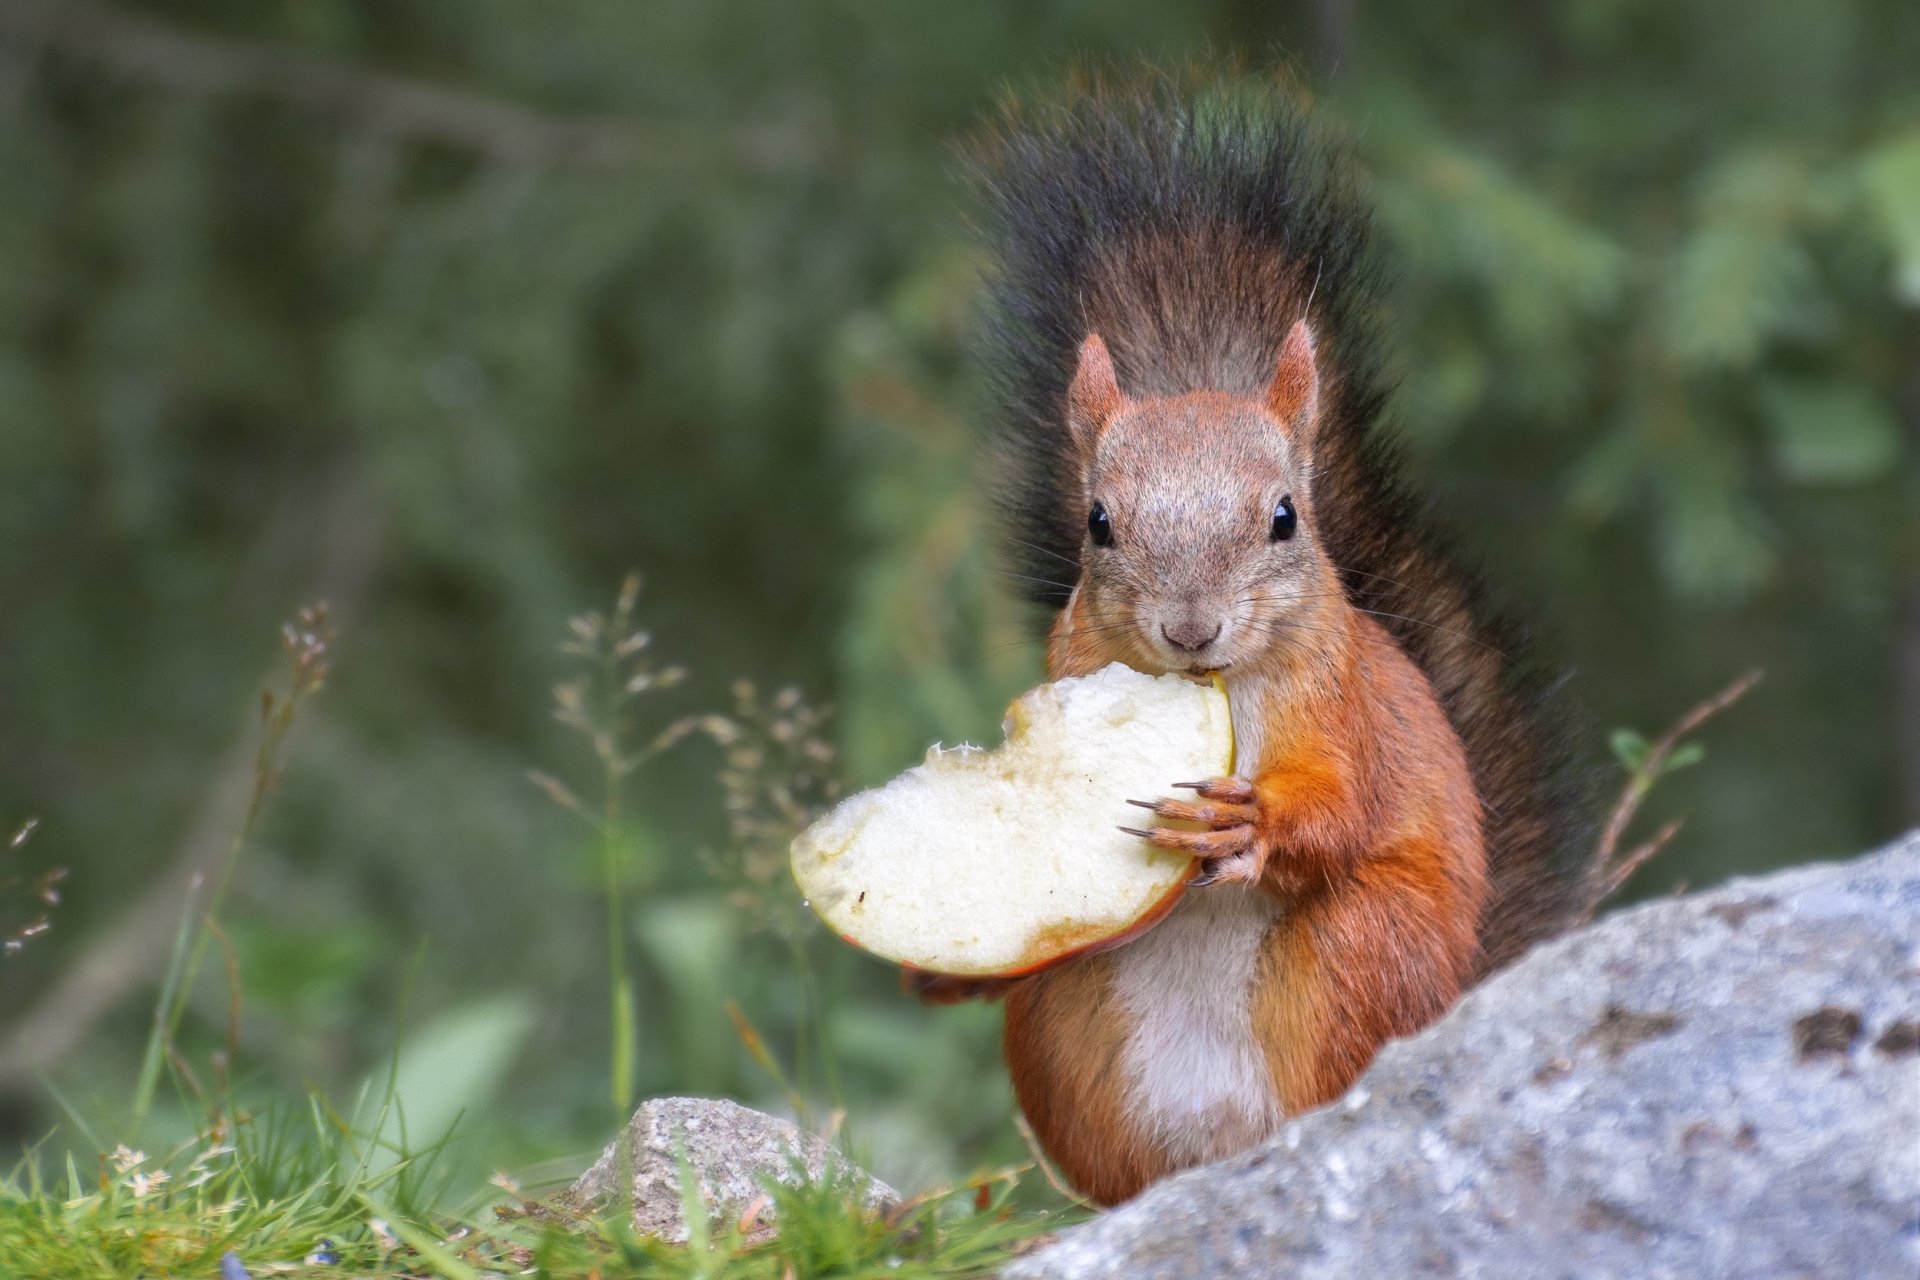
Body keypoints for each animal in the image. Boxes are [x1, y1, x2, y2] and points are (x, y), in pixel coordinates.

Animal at [917, 78, 1600, 1206]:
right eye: (1097, 521)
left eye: (1285, 518)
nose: (1190, 628)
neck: (1220, 691)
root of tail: (1225, 1150)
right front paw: (933, 967)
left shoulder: (1345, 707)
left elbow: (1337, 808)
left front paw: (1252, 823)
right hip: (1070, 1036)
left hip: (1357, 961)